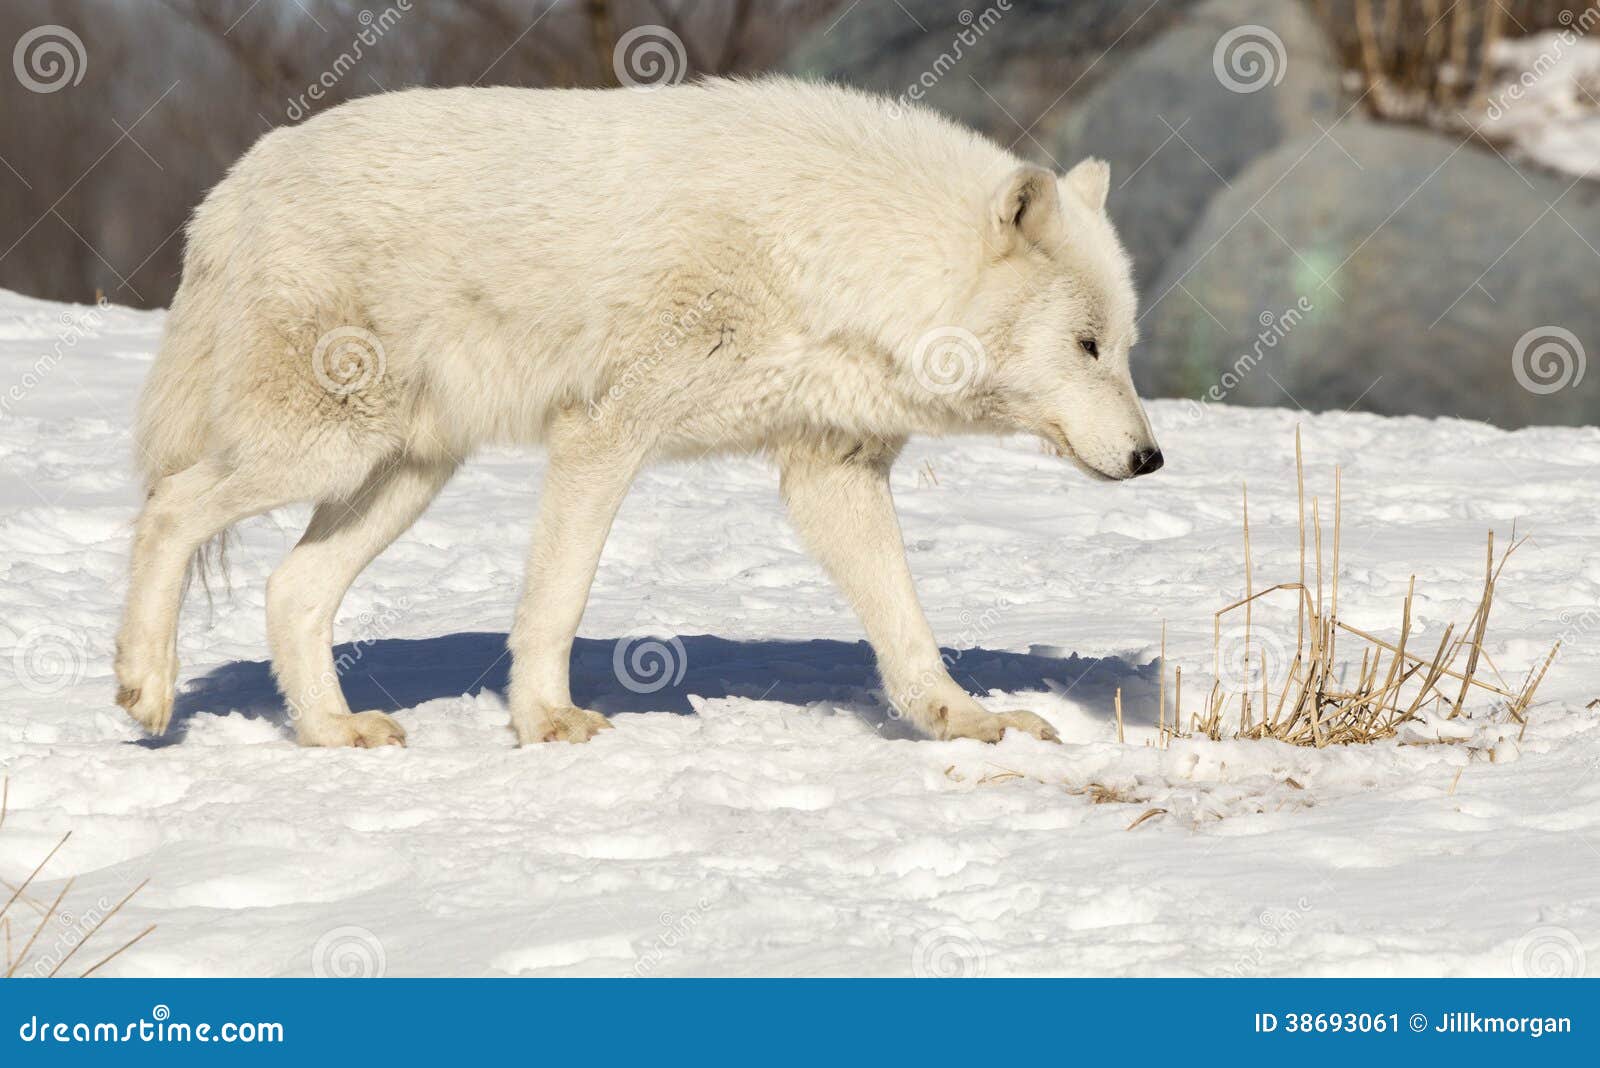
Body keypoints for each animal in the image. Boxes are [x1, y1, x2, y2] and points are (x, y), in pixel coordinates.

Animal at [114, 77, 1162, 749]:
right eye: (1085, 346)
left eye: (1124, 346)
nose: (1151, 459)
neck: (830, 258)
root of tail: (231, 188)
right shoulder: (602, 434)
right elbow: (555, 602)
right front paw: (546, 721)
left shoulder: (831, 473)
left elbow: (907, 628)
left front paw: (971, 721)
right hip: (325, 450)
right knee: (168, 508)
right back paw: (147, 687)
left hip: (405, 473)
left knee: (289, 590)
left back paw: (331, 731)